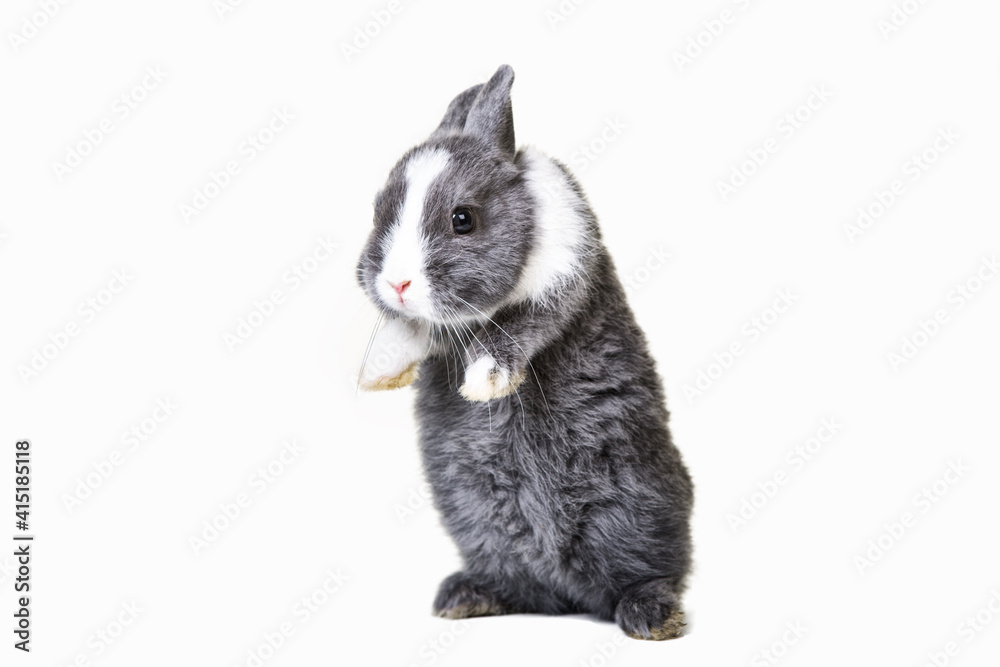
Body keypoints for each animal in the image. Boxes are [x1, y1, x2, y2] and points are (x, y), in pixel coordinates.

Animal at [355, 64, 693, 641]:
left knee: (648, 571)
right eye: (379, 213)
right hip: (478, 517)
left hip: (635, 505)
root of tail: (569, 595)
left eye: (463, 219)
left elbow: (517, 331)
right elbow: (413, 332)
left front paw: (482, 383)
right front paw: (377, 372)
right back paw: (465, 597)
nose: (397, 283)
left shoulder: (559, 287)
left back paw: (652, 617)